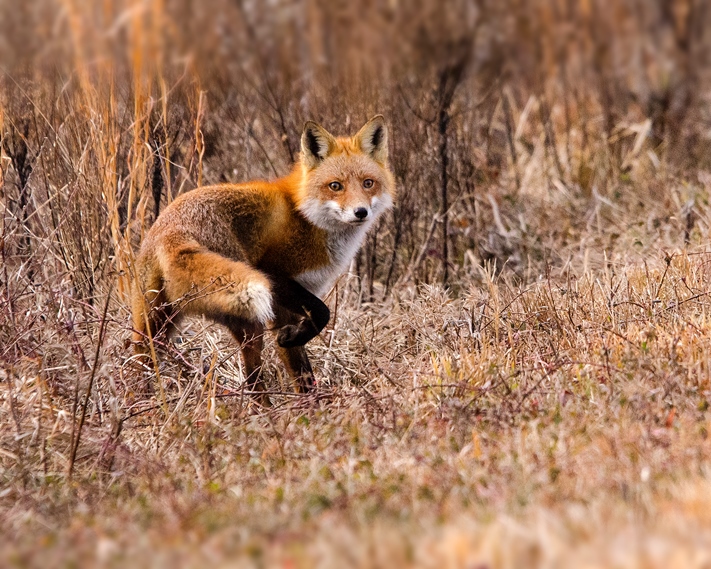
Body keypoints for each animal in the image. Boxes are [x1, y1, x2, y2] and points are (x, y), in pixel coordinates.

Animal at [131, 115, 396, 399]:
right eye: (335, 186)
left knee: (139, 357)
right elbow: (321, 314)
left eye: (368, 183)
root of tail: (172, 230)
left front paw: (311, 405)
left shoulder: (285, 308)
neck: (306, 217)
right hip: (248, 317)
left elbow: (301, 369)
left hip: (156, 321)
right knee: (253, 383)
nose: (361, 212)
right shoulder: (275, 276)